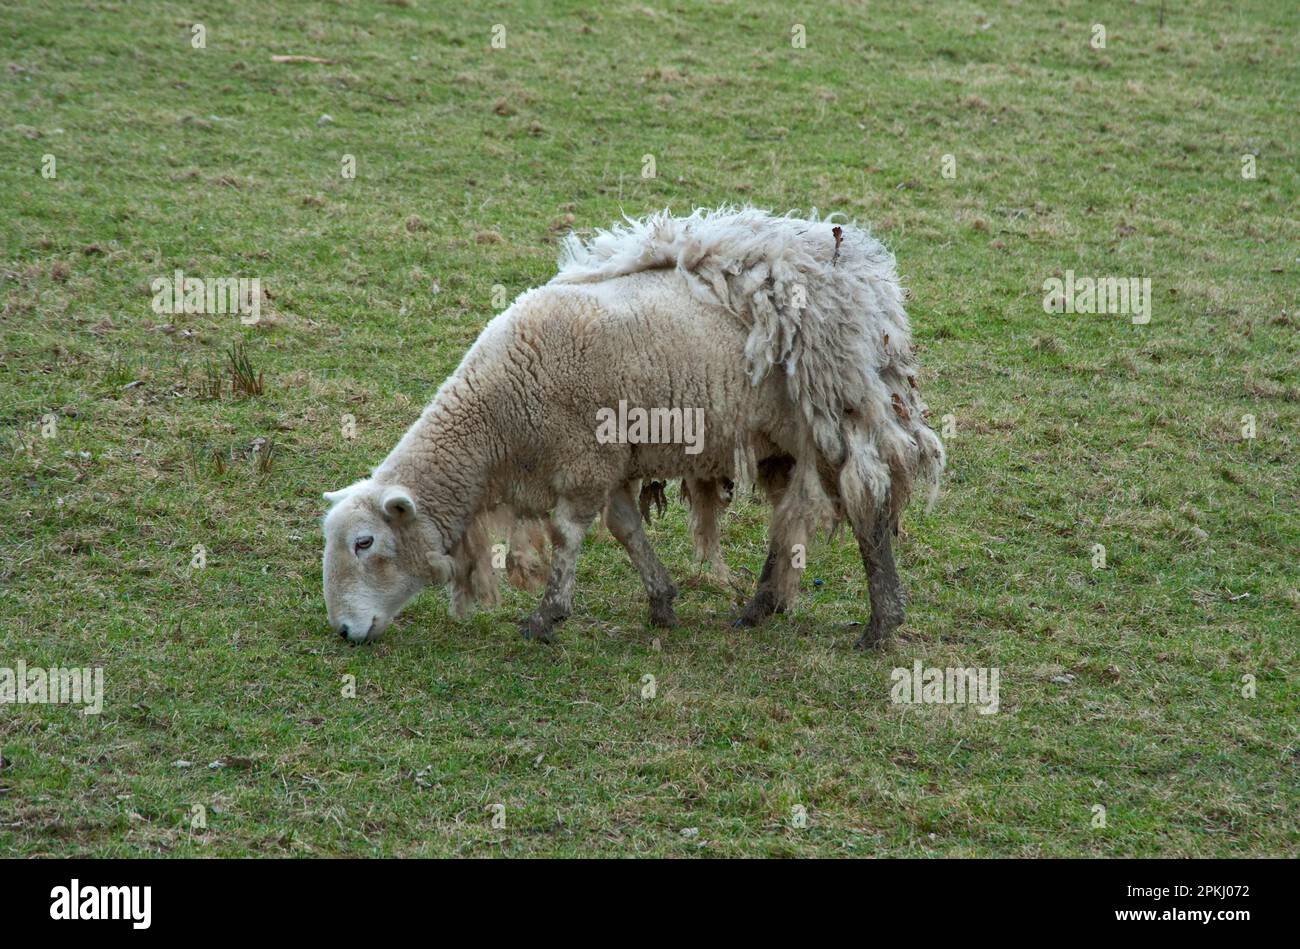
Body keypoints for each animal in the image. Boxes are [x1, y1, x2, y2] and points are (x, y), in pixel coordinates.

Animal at [321, 207, 944, 647]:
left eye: (363, 542)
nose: (345, 633)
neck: (497, 418)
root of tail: (869, 282)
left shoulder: (583, 460)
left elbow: (568, 535)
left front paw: (546, 617)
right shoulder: (610, 460)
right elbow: (625, 528)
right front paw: (662, 600)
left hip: (836, 413)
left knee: (869, 506)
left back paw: (881, 623)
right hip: (786, 438)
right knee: (790, 514)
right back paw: (760, 606)